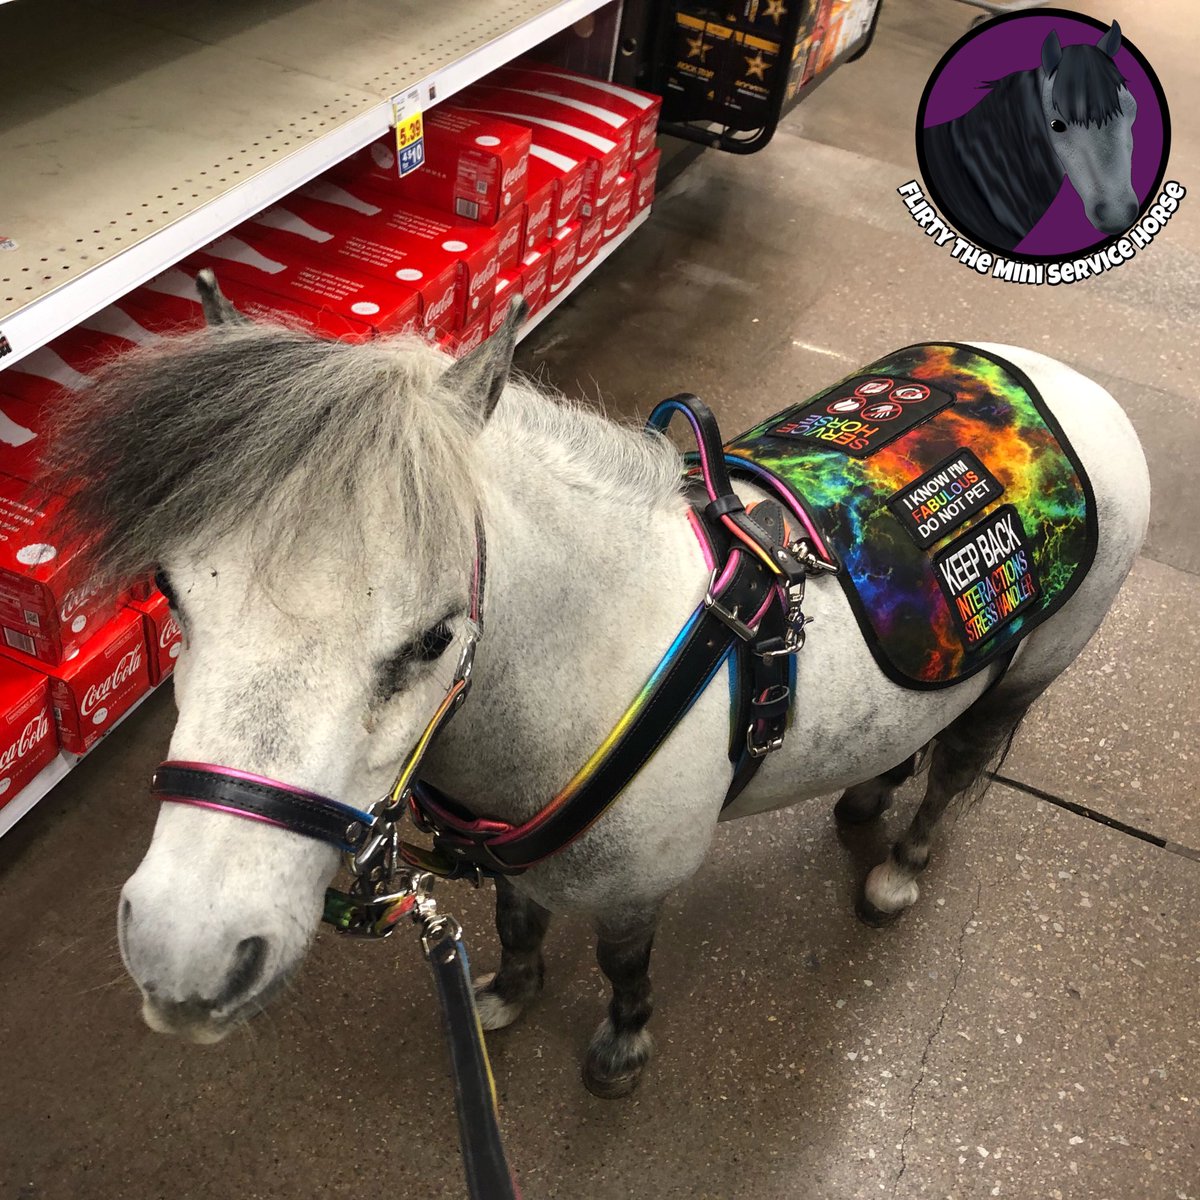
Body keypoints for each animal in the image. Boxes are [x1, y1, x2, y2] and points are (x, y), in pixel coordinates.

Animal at [46, 275, 1148, 1097]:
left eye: (435, 636)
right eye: (171, 596)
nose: (185, 956)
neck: (591, 659)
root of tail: (1076, 386)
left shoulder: (636, 883)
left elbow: (623, 964)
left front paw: (622, 1048)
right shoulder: (513, 852)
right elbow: (518, 918)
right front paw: (507, 990)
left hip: (1033, 669)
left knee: (960, 765)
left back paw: (901, 864)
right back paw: (869, 795)